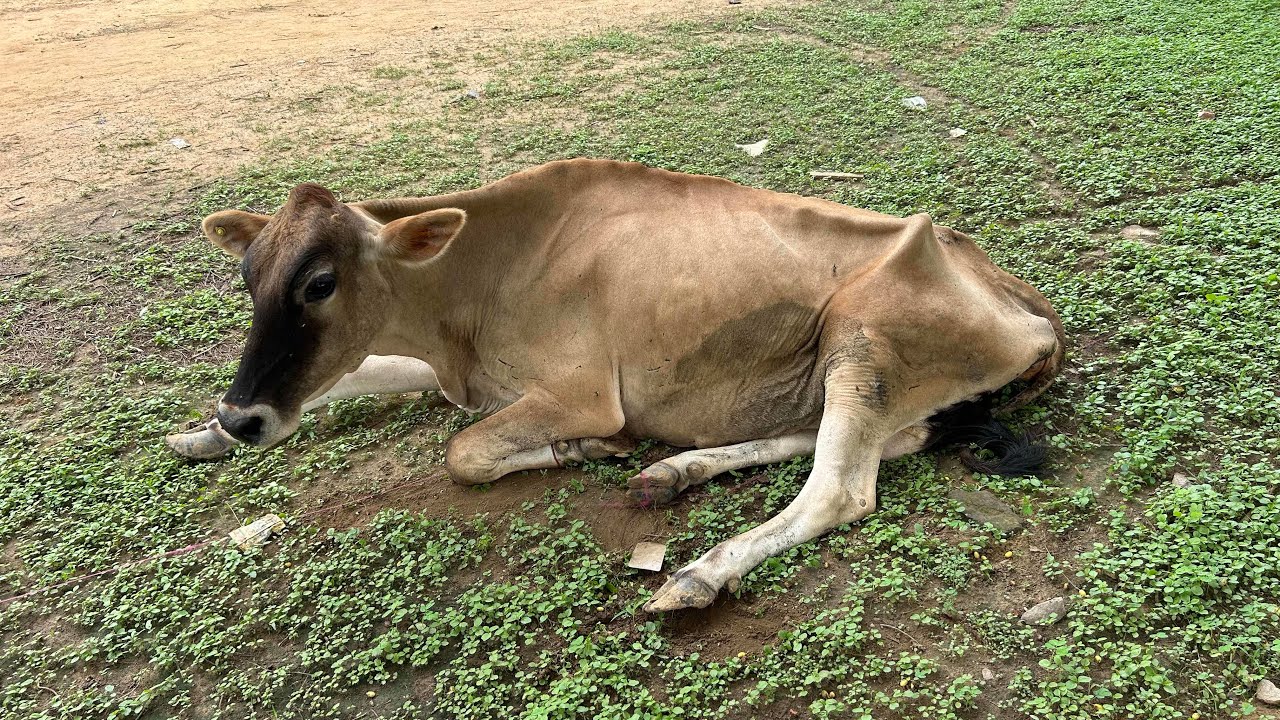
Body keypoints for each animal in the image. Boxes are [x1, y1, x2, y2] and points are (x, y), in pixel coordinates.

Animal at [166, 159, 1063, 612]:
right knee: (872, 442)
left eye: (319, 283)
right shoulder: (451, 371)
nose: (245, 416)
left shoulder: (578, 393)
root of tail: (1017, 294)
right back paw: (673, 472)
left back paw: (698, 574)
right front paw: (201, 431)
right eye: (248, 275)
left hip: (861, 337)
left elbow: (466, 453)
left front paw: (585, 450)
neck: (477, 278)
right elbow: (358, 378)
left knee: (841, 488)